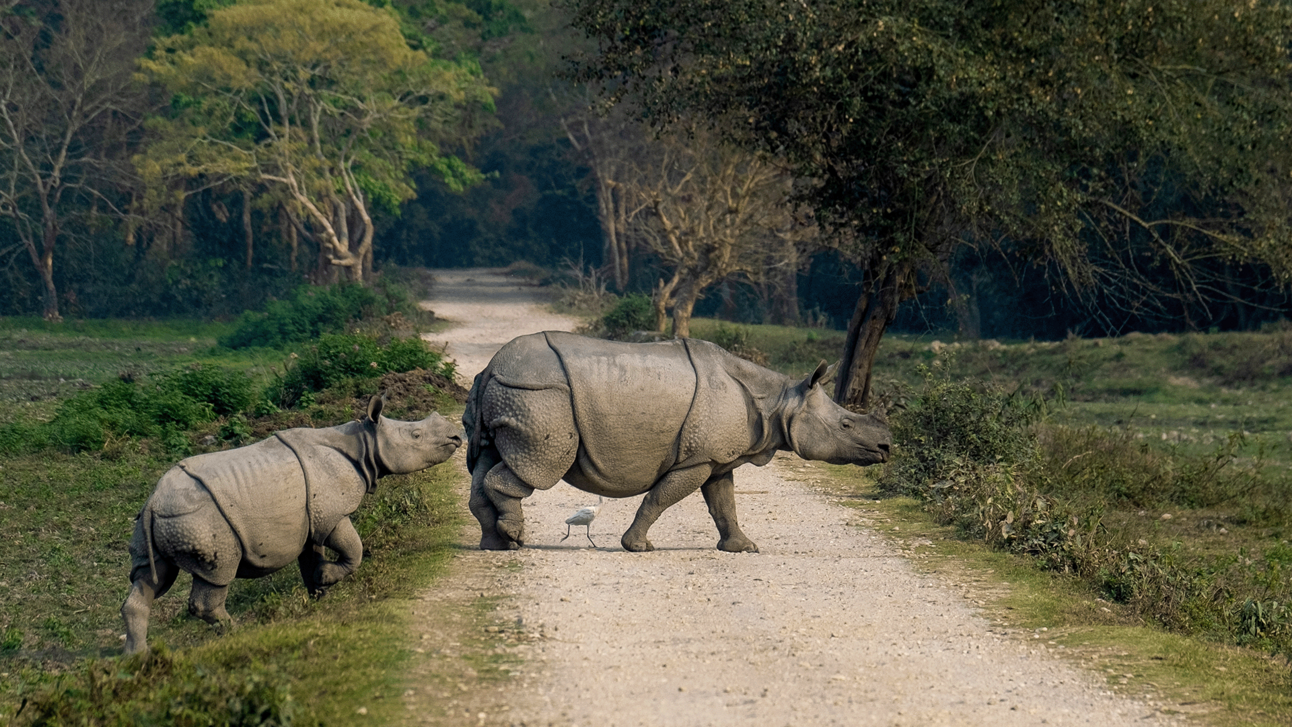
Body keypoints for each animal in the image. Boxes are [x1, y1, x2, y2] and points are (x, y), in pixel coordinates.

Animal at [121, 396, 463, 654]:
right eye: (415, 437)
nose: (456, 436)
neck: (363, 443)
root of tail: (152, 504)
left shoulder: (311, 518)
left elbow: (311, 557)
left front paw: (319, 592)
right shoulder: (331, 514)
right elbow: (354, 549)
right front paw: (326, 579)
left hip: (163, 520)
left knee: (151, 578)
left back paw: (138, 656)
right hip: (200, 519)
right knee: (217, 575)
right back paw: (236, 632)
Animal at [464, 331, 891, 552]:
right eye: (846, 425)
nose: (886, 446)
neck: (781, 400)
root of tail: (492, 367)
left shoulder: (717, 458)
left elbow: (724, 504)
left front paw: (742, 548)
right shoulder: (697, 459)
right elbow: (660, 498)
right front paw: (637, 547)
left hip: (512, 393)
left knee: (488, 460)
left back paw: (495, 545)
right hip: (539, 395)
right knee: (538, 465)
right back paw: (516, 538)